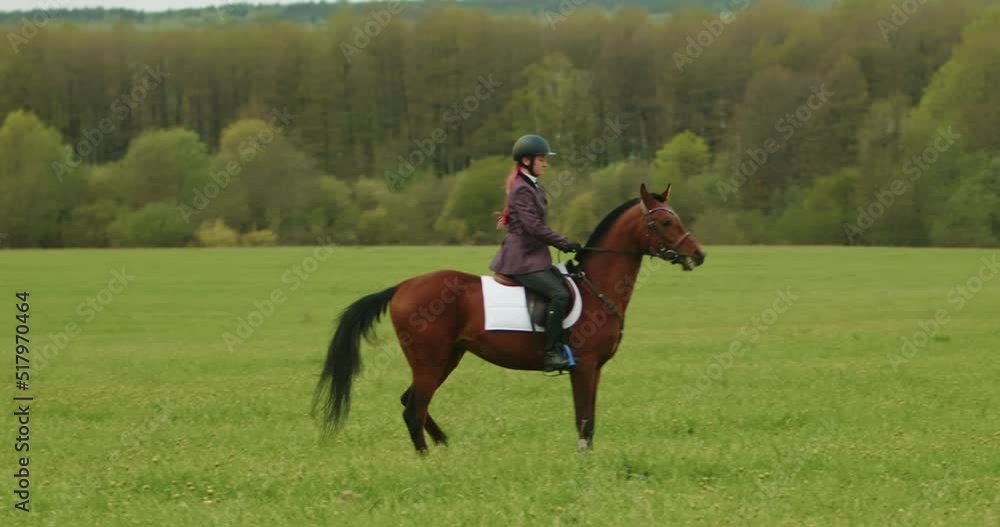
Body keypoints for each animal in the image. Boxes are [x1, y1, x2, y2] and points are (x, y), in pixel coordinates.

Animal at [311, 183, 706, 452]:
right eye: (666, 221)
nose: (698, 255)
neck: (597, 286)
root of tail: (402, 287)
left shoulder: (594, 369)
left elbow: (590, 420)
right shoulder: (583, 365)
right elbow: (584, 419)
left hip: (447, 358)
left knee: (413, 402)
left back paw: (446, 447)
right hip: (430, 359)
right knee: (414, 409)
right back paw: (427, 459)